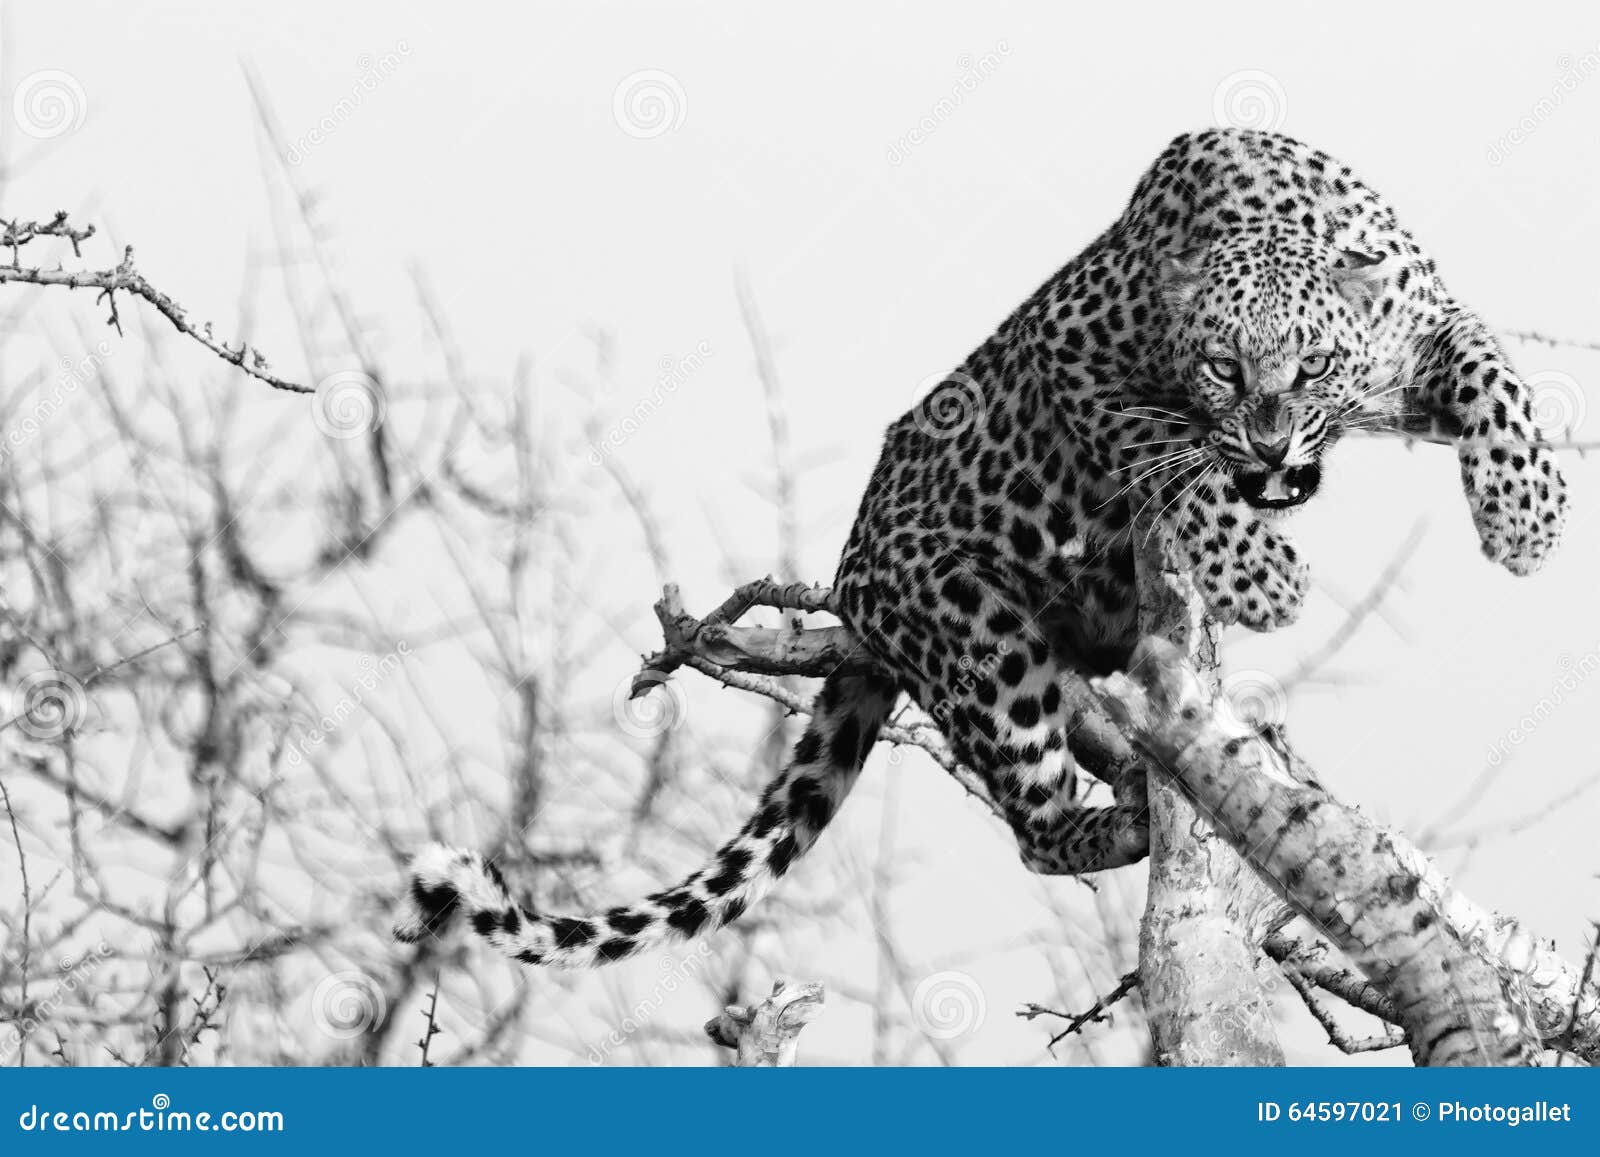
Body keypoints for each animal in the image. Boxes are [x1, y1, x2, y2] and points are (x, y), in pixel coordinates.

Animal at [396, 127, 1568, 967]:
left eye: (1314, 363)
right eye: (1224, 370)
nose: (1274, 441)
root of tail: (851, 582)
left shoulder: (1422, 330)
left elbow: (1492, 371)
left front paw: (1528, 517)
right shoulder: (1077, 363)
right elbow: (1172, 461)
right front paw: (1265, 574)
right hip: (982, 642)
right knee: (1033, 823)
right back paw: (1129, 818)